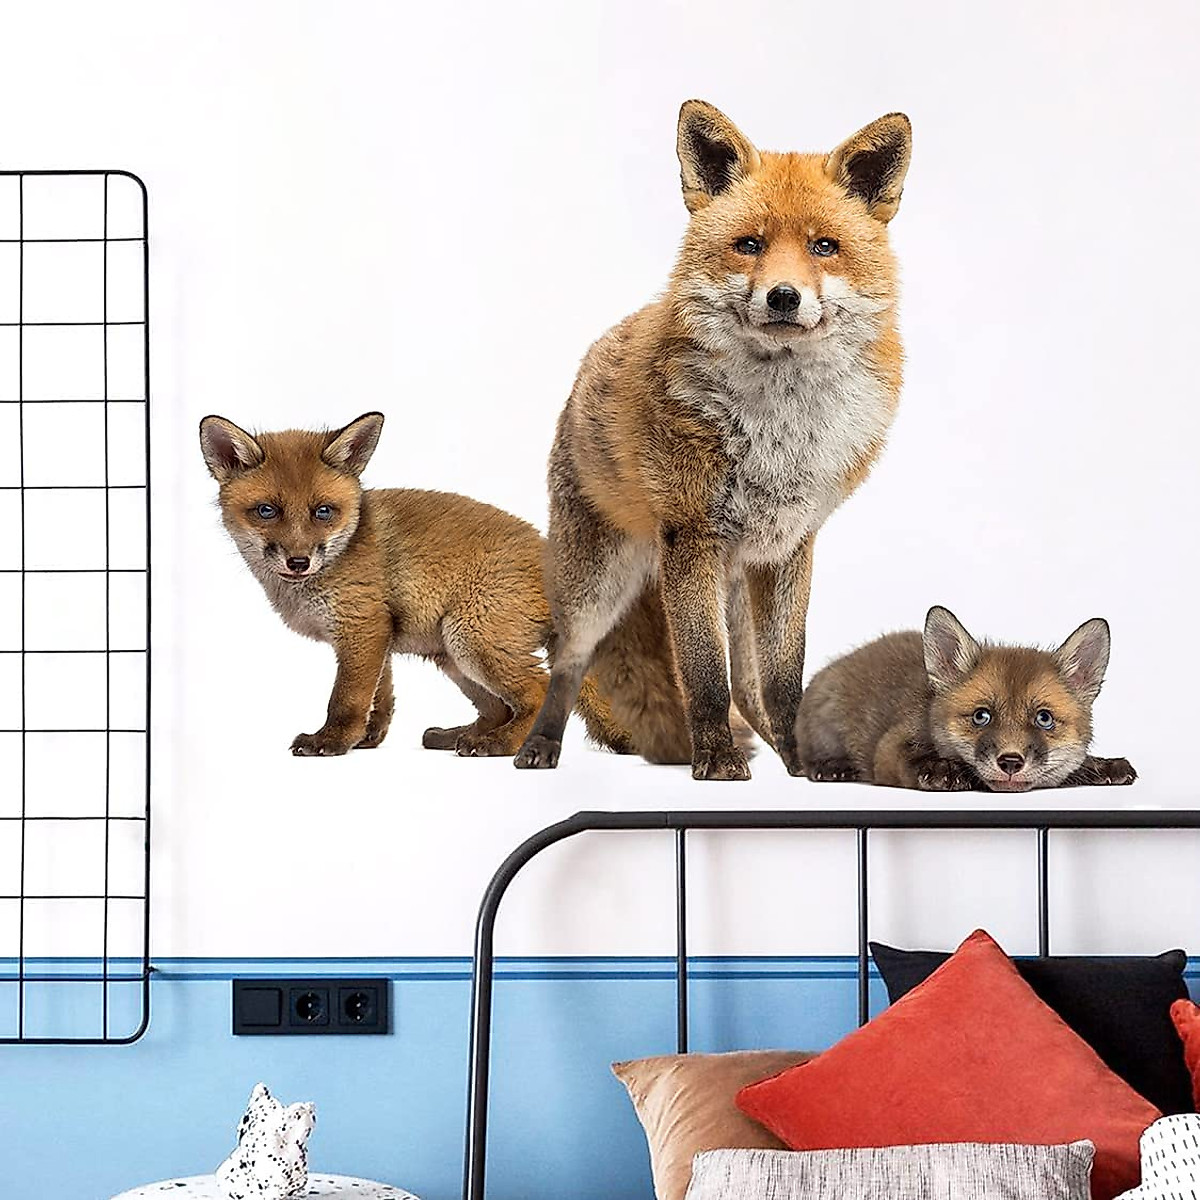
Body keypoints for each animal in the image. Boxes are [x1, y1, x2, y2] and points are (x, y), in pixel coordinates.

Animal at [198, 411, 633, 758]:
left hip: (471, 638)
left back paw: (500, 744)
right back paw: (460, 735)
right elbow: (381, 697)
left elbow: (348, 699)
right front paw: (367, 739)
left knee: (536, 693)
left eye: (322, 511)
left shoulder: (362, 628)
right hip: (453, 656)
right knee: (499, 709)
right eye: (266, 511)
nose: (299, 561)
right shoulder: (379, 634)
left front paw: (333, 741)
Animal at [513, 100, 913, 780]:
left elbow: (782, 679)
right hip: (600, 582)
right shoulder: (692, 537)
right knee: (568, 661)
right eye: (749, 246)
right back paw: (541, 744)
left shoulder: (788, 547)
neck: (781, 430)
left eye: (824, 248)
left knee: (749, 689)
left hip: (734, 582)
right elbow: (703, 675)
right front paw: (717, 759)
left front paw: (804, 757)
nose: (784, 296)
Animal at [795, 606, 1137, 792]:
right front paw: (942, 770)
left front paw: (1103, 766)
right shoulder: (888, 748)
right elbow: (912, 759)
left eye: (1044, 719)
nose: (1010, 762)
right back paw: (832, 766)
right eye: (981, 716)